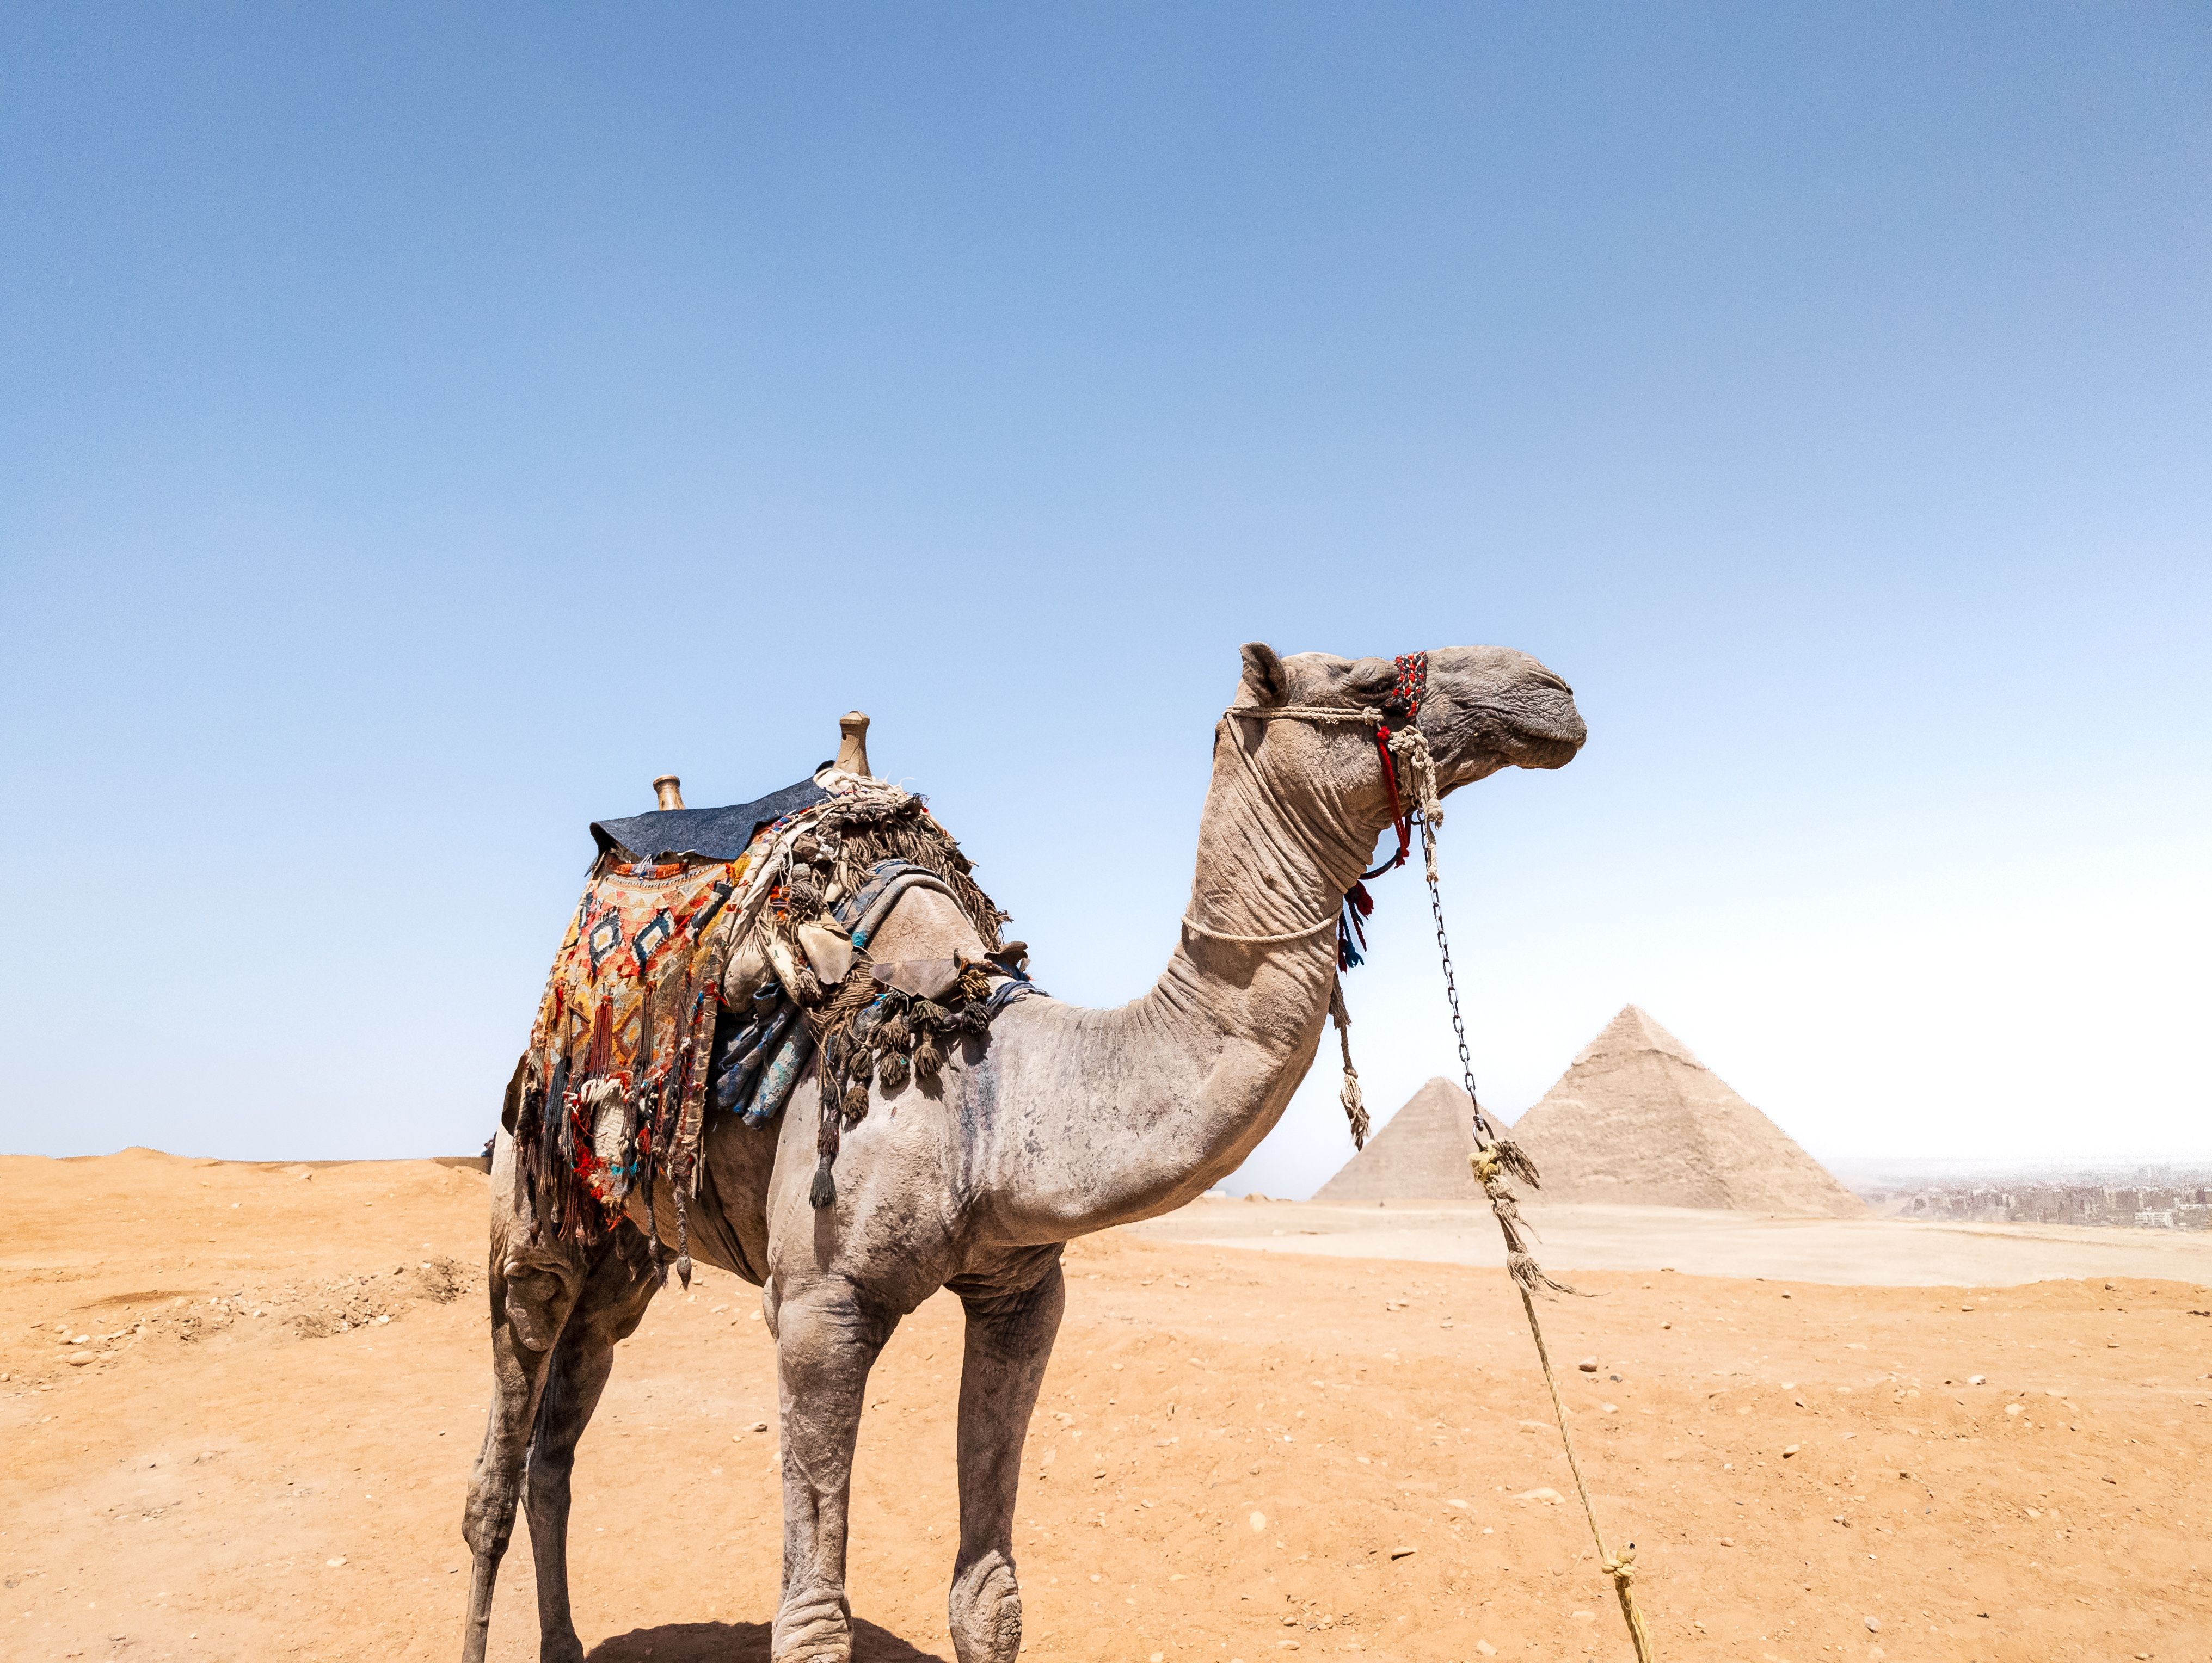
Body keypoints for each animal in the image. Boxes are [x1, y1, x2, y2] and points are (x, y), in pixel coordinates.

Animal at [461, 641, 1586, 1663]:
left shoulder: (1020, 1291)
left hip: (624, 1253)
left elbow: (988, 1600)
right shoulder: (818, 1306)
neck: (983, 1088)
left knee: (557, 1442)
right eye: (1365, 677)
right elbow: (813, 1625)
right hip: (533, 1211)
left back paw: (563, 1643)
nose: (1549, 690)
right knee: (495, 1474)